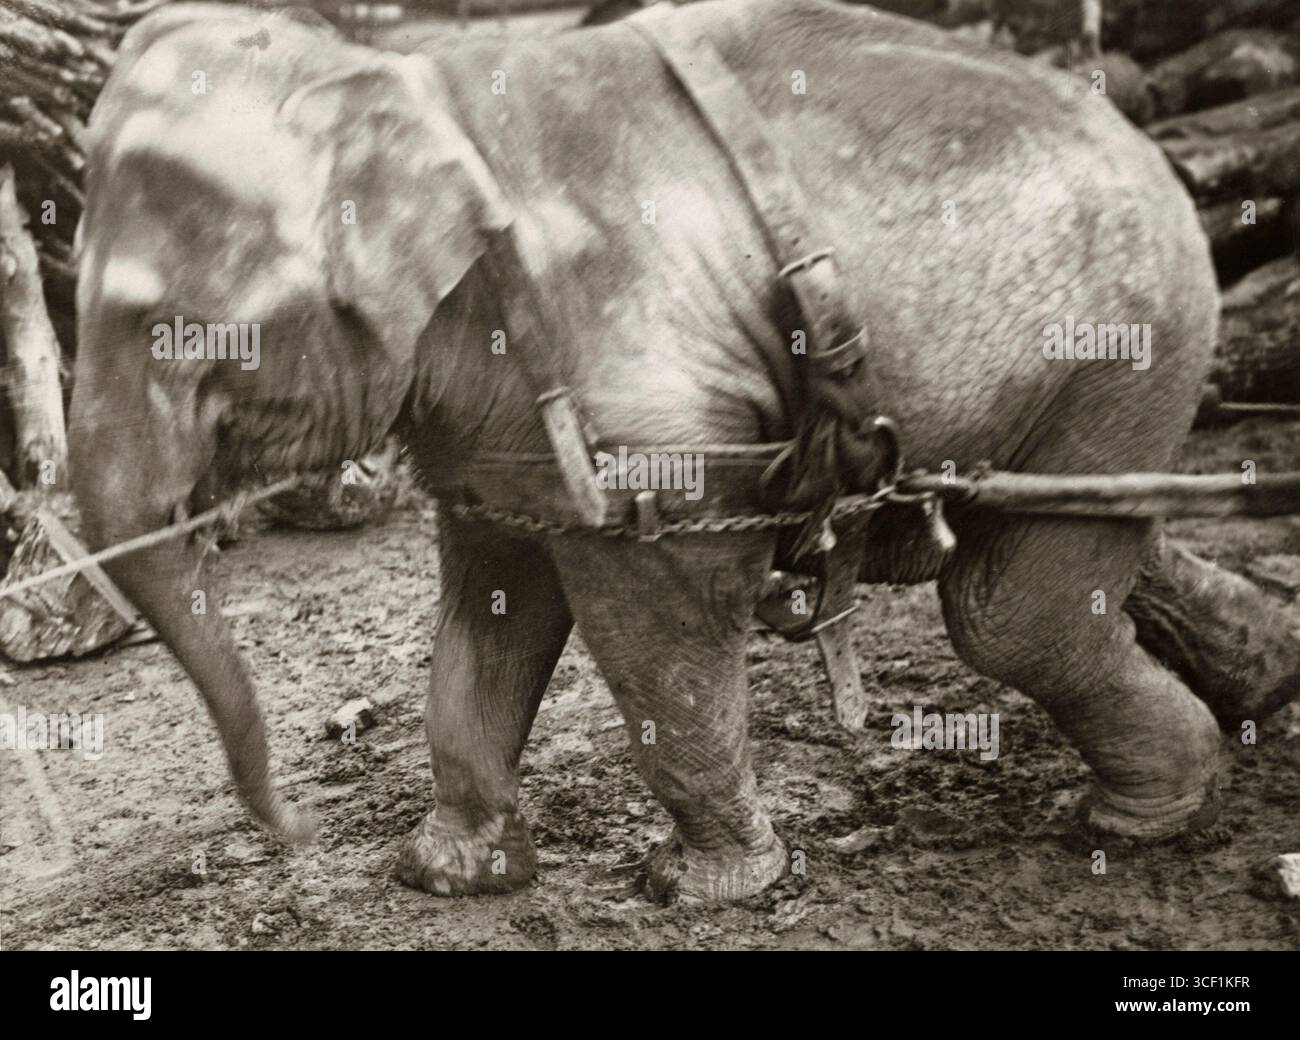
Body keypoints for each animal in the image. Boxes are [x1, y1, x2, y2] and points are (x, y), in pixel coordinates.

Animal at [70, 0, 1300, 902]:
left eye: (164, 325)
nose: (292, 831)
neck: (409, 86)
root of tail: (1151, 147)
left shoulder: (652, 414)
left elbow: (657, 615)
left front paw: (704, 890)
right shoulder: (501, 418)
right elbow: (495, 593)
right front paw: (450, 875)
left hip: (1121, 339)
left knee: (1011, 605)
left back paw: (1135, 818)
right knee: (1070, 536)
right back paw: (1261, 684)